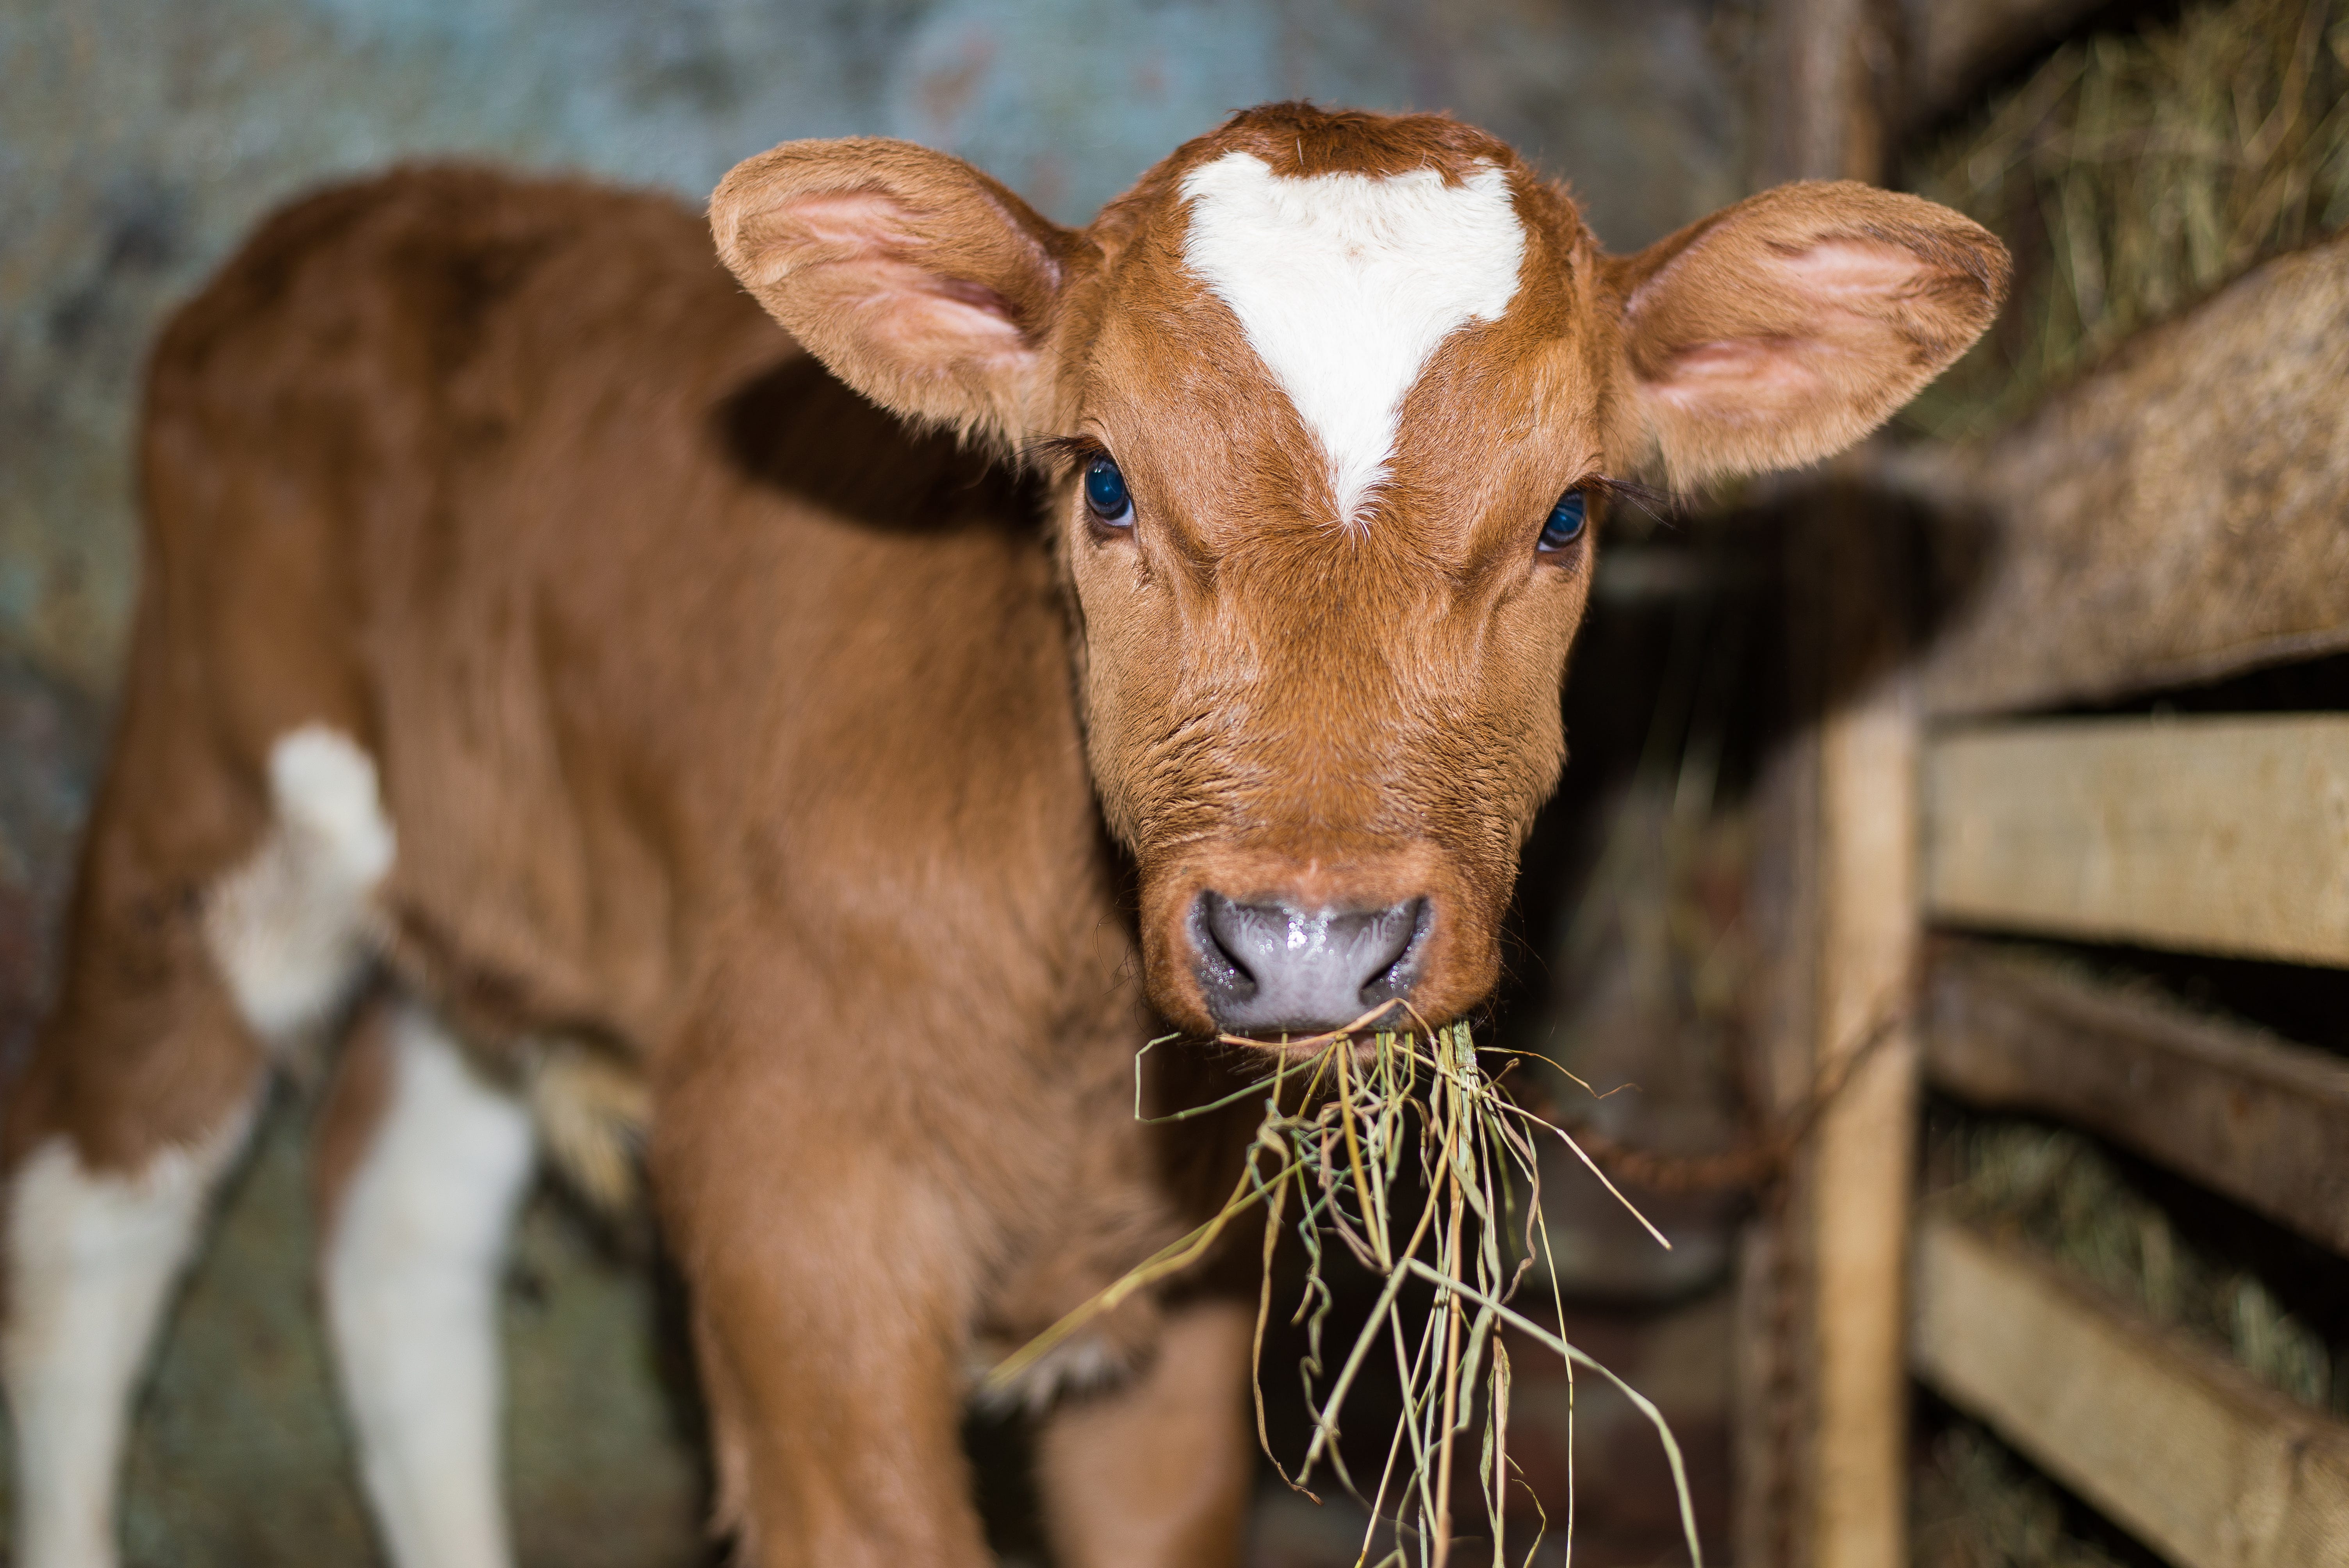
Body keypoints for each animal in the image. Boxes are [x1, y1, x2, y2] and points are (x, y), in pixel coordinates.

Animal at [1, 102, 2004, 1568]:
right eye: (1100, 479)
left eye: (1570, 512)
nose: (1308, 938)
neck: (1063, 1031)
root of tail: (361, 212)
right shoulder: (787, 1179)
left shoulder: (1175, 1288)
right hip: (208, 798)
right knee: (98, 1208)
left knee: (395, 1227)